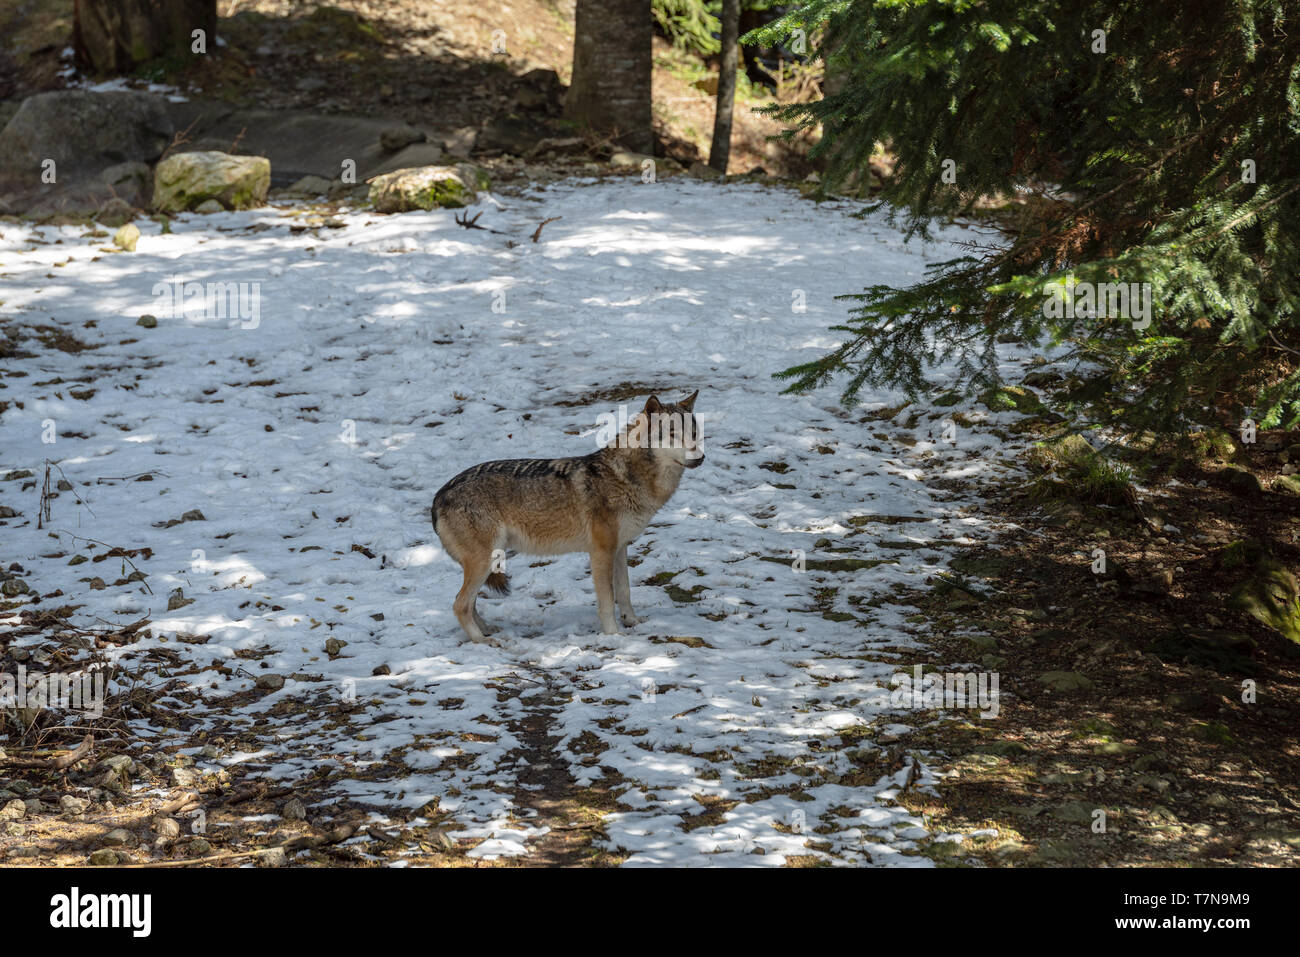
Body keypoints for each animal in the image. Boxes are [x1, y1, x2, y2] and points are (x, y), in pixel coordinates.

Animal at [431, 391, 703, 642]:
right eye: (672, 434)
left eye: (694, 434)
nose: (700, 457)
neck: (627, 477)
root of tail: (438, 496)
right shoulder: (601, 553)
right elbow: (607, 600)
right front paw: (614, 635)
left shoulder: (620, 548)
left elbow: (624, 591)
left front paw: (632, 622)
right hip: (486, 560)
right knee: (460, 604)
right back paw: (483, 641)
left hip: (490, 561)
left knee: (468, 602)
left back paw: (488, 630)